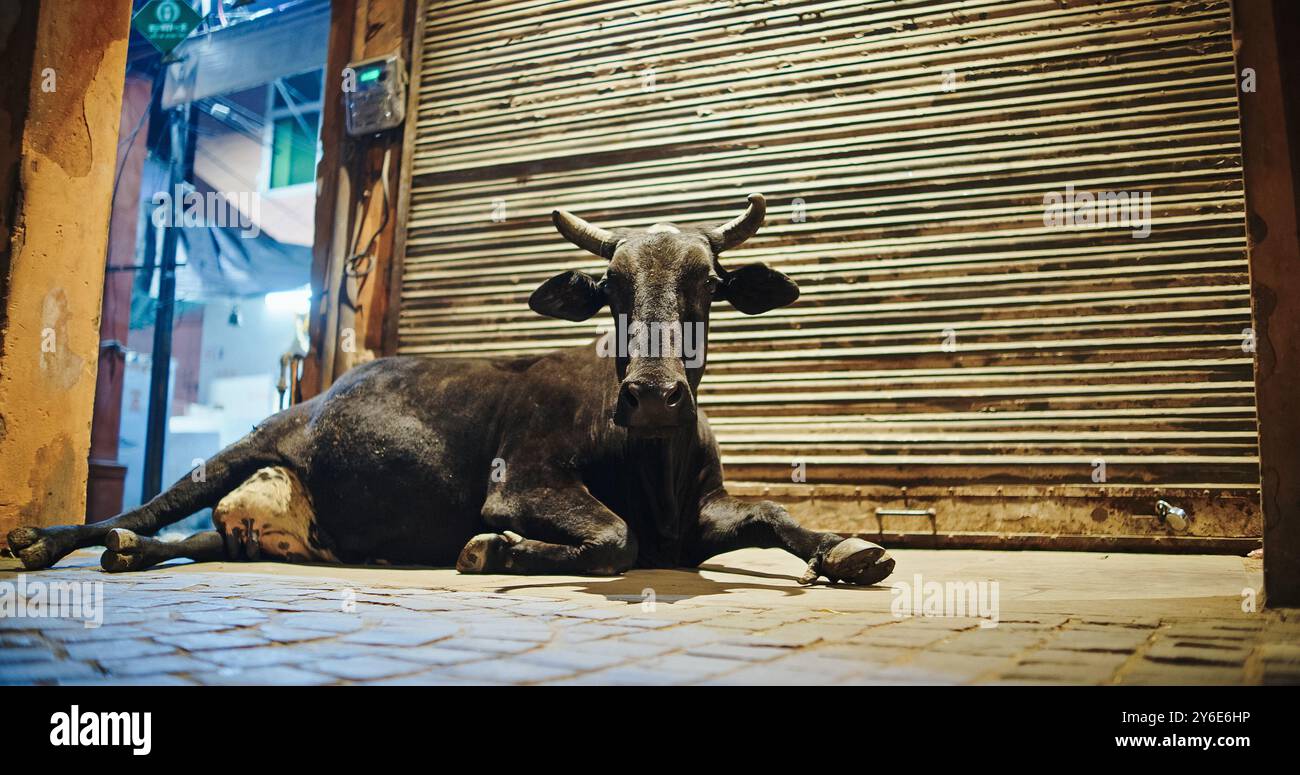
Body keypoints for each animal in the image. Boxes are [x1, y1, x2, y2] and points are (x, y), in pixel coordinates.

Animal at [5, 194, 896, 588]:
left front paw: (848, 547)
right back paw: (48, 541)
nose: (651, 392)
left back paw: (142, 552)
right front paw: (494, 548)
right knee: (134, 511)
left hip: (265, 522)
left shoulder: (698, 516)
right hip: (239, 447)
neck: (657, 470)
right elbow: (614, 539)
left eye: (707, 282)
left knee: (200, 540)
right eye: (611, 285)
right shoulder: (527, 479)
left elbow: (771, 511)